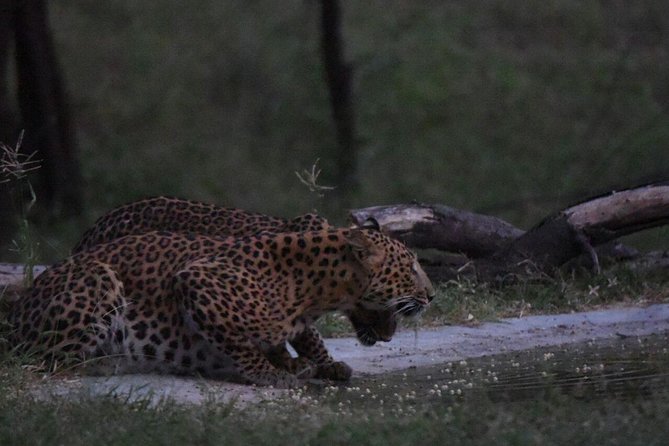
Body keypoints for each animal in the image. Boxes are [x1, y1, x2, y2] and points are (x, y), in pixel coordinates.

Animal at [8, 228, 434, 387]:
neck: (315, 290)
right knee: (46, 359)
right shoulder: (196, 281)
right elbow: (238, 342)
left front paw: (320, 363)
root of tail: (16, 312)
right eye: (412, 267)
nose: (432, 296)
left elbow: (305, 336)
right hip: (99, 278)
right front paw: (273, 373)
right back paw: (107, 362)